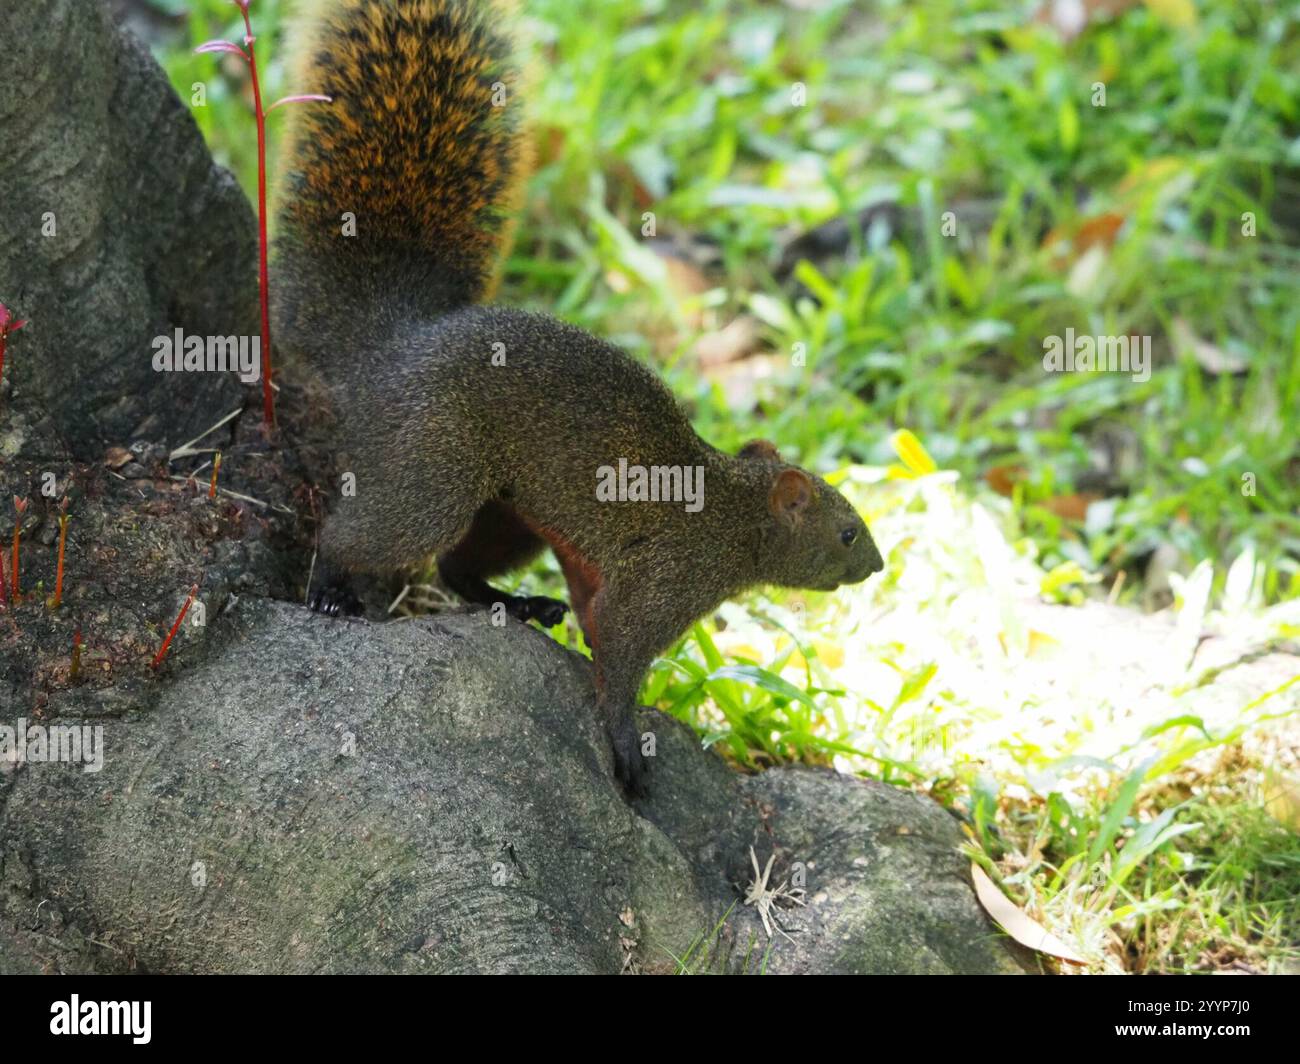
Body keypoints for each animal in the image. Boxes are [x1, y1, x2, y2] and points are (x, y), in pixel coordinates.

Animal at [272, 0, 885, 794]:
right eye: (845, 533)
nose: (876, 567)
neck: (731, 514)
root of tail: (385, 351)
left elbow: (597, 624)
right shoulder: (663, 579)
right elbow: (620, 656)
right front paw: (626, 748)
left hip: (512, 511)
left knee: (456, 568)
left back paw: (519, 603)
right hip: (434, 469)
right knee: (363, 534)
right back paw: (330, 588)